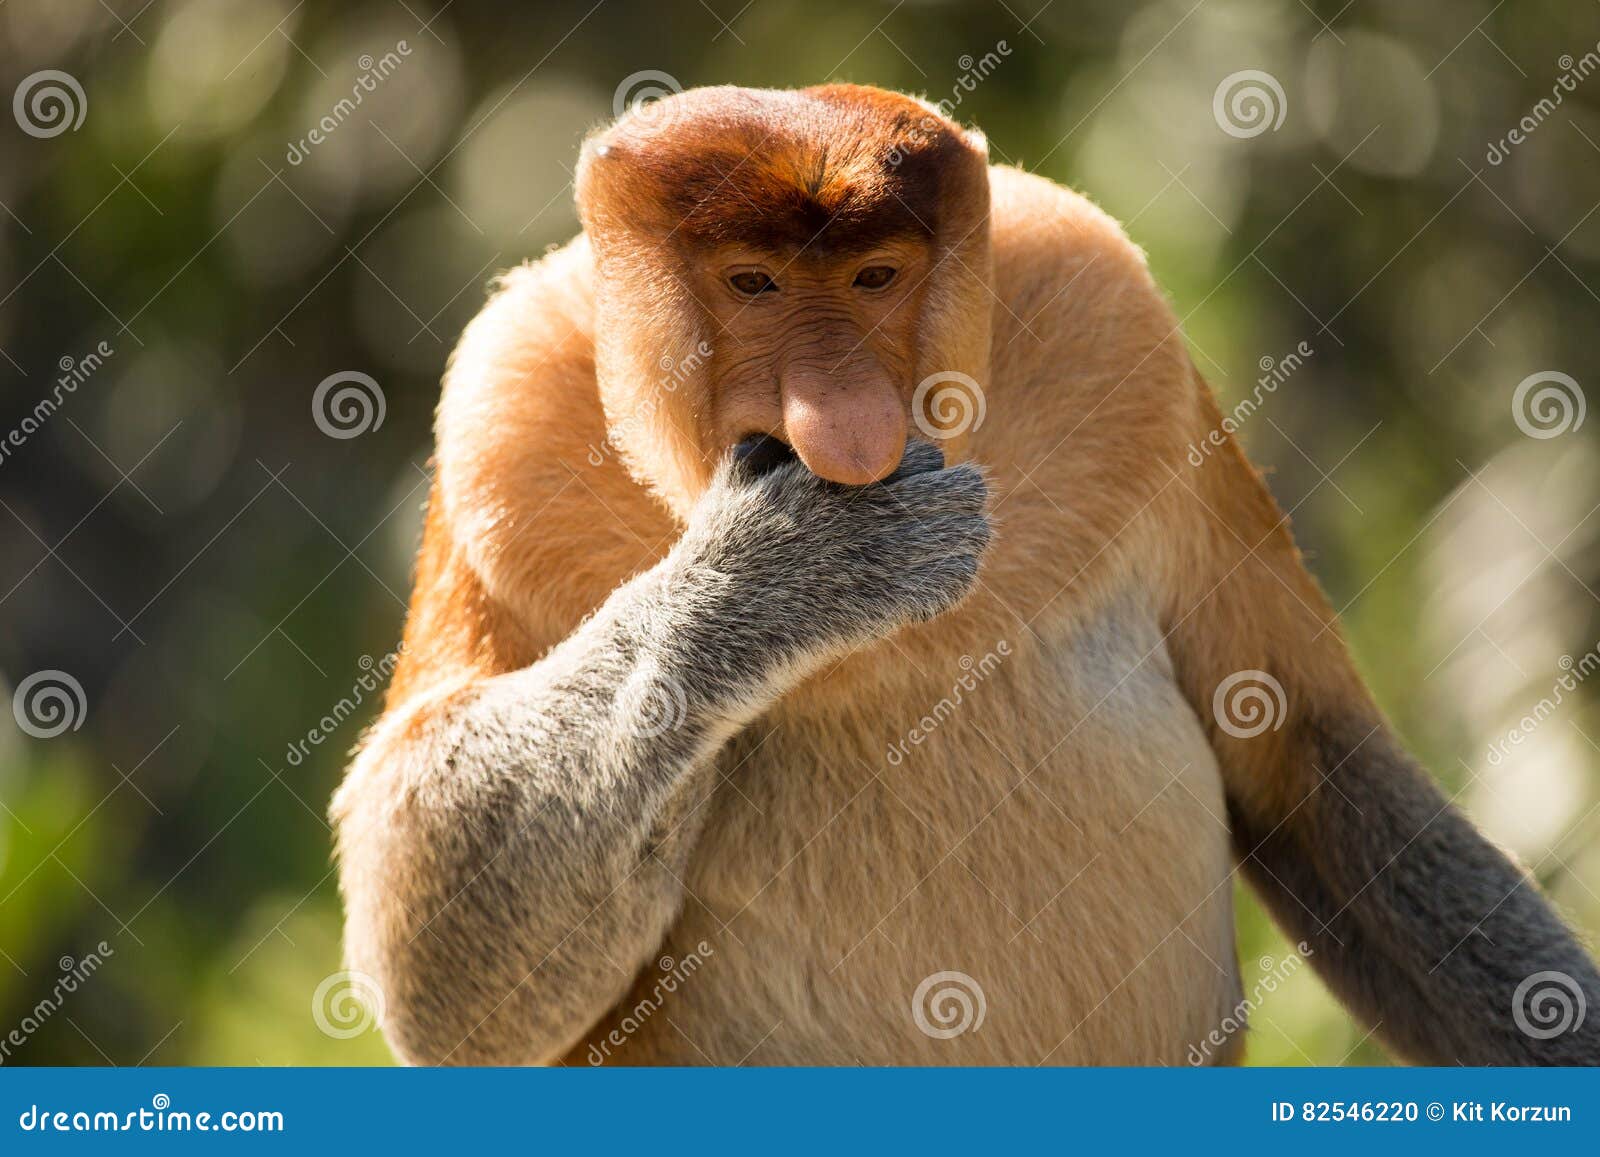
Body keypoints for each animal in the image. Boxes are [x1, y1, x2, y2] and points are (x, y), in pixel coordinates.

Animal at [331, 84, 1600, 1066]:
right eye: (752, 284)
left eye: (876, 277)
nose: (844, 428)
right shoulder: (503, 420)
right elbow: (432, 955)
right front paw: (795, 563)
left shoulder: (1117, 319)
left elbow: (1309, 752)